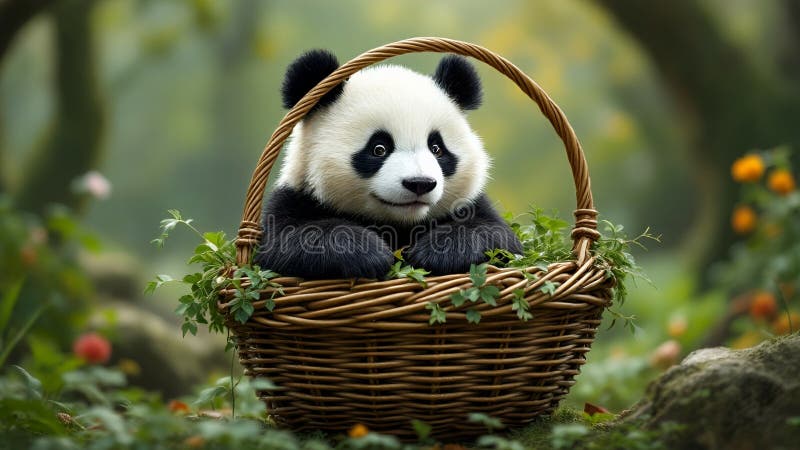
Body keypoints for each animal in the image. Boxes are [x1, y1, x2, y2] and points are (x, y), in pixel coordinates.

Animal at [255, 49, 523, 279]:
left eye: (436, 148)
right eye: (379, 149)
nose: (419, 183)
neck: (399, 224)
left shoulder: (474, 205)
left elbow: (497, 236)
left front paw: (442, 252)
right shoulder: (294, 200)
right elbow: (288, 241)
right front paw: (367, 253)